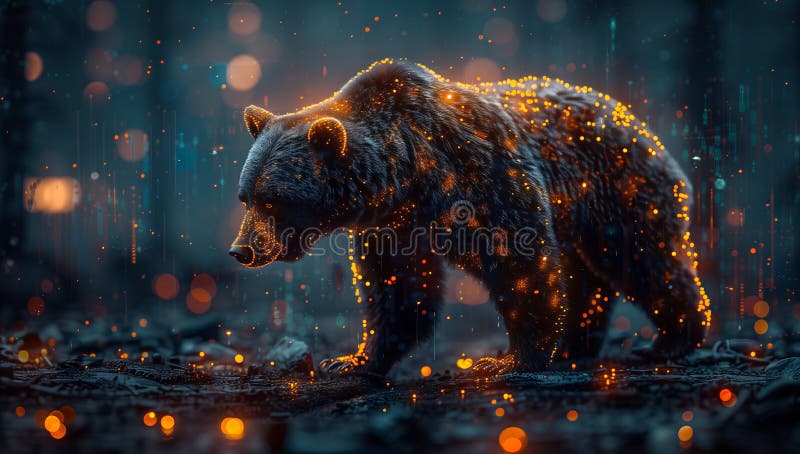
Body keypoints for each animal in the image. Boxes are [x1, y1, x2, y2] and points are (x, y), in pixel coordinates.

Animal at [229, 58, 711, 376]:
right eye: (245, 196)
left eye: (273, 199)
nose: (243, 250)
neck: (408, 174)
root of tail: (637, 122)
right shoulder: (392, 225)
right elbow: (396, 291)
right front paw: (354, 359)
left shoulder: (481, 178)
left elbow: (521, 260)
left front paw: (510, 358)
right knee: (588, 276)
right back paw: (577, 344)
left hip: (615, 189)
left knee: (646, 259)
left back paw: (670, 341)